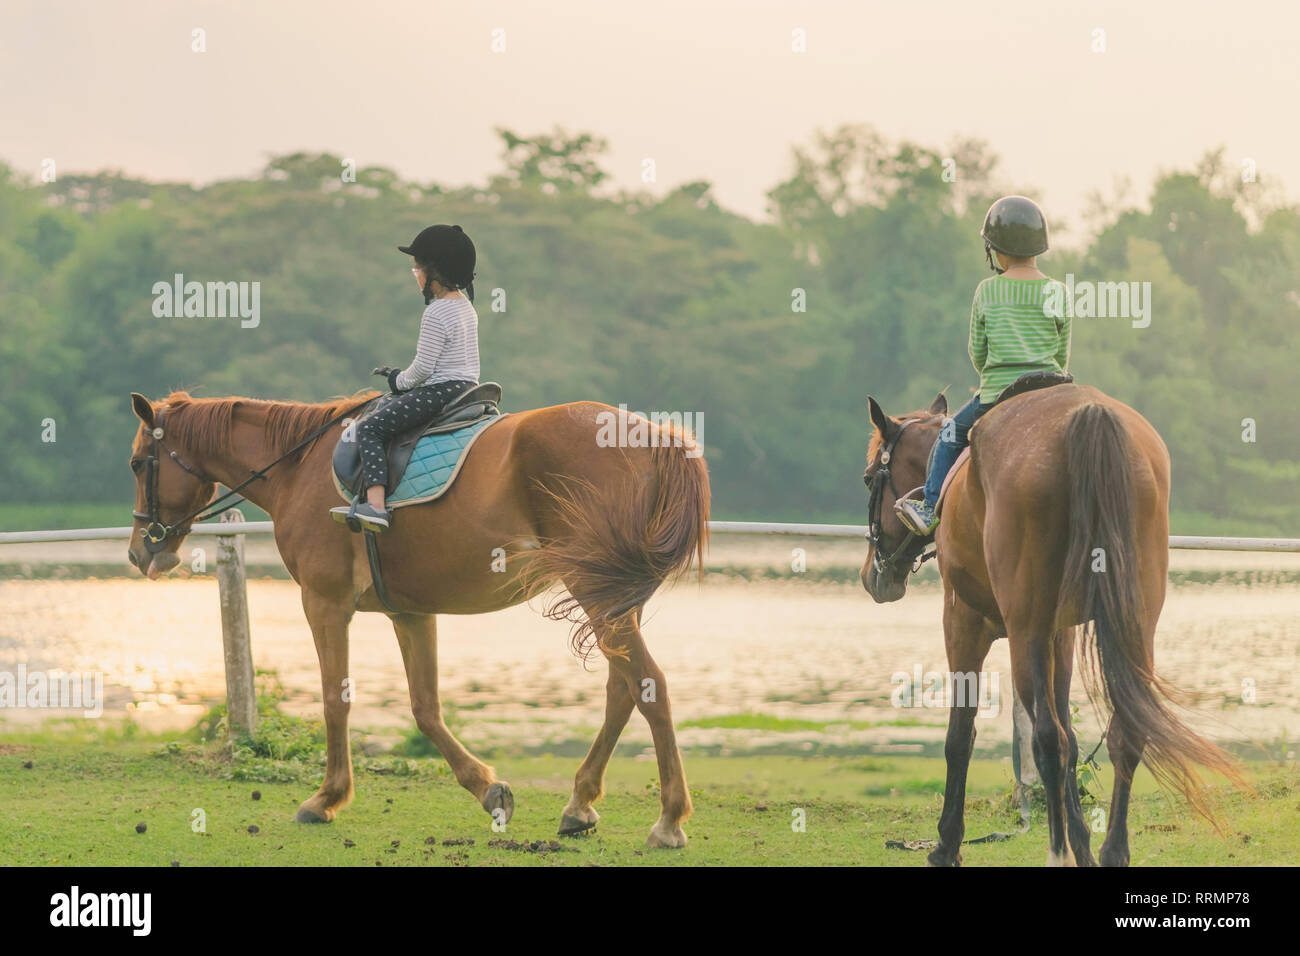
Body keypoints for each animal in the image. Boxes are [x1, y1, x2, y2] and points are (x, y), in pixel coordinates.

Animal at [125, 389, 709, 848]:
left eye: (136, 464)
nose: (139, 551)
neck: (298, 468)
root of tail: (656, 436)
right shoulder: (409, 611)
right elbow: (425, 709)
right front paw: (488, 790)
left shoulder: (324, 603)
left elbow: (335, 700)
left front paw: (326, 798)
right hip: (610, 595)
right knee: (622, 690)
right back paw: (580, 803)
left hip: (595, 591)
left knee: (648, 685)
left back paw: (668, 820)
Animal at [859, 385, 1244, 866]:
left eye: (869, 478)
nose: (872, 575)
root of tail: (1090, 417)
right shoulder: (1060, 635)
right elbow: (1074, 740)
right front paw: (1082, 842)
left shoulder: (964, 622)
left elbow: (961, 735)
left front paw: (947, 843)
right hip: (1132, 628)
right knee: (1121, 733)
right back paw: (1111, 850)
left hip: (1026, 635)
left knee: (1047, 739)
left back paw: (1056, 851)